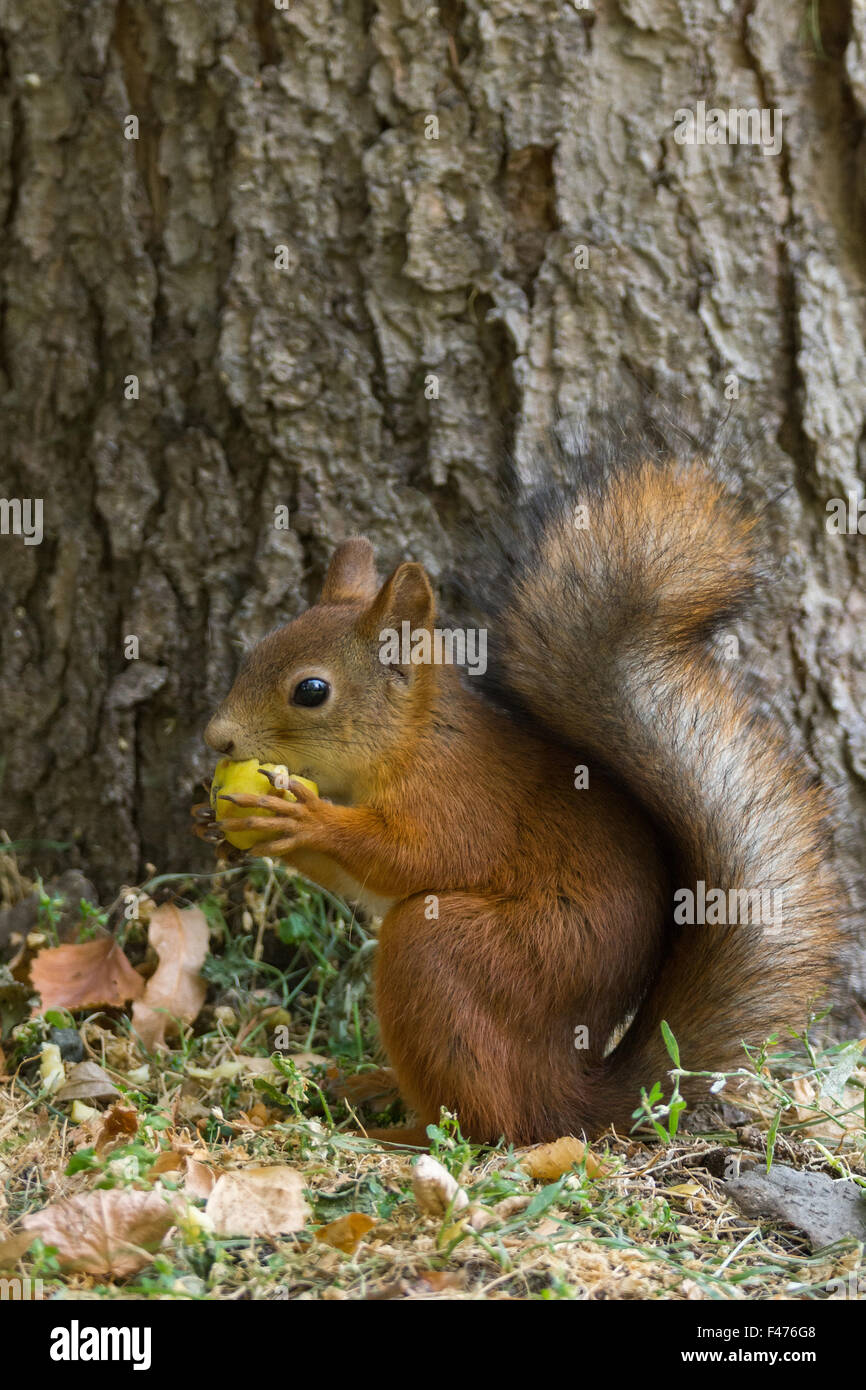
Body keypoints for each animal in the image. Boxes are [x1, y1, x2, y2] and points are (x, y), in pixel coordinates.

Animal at [201, 436, 842, 1146]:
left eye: (311, 690)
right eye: (256, 650)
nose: (216, 737)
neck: (415, 738)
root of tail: (570, 1101)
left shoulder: (459, 796)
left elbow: (420, 860)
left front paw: (306, 818)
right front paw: (241, 834)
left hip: (458, 954)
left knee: (487, 1126)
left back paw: (392, 1133)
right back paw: (372, 1089)